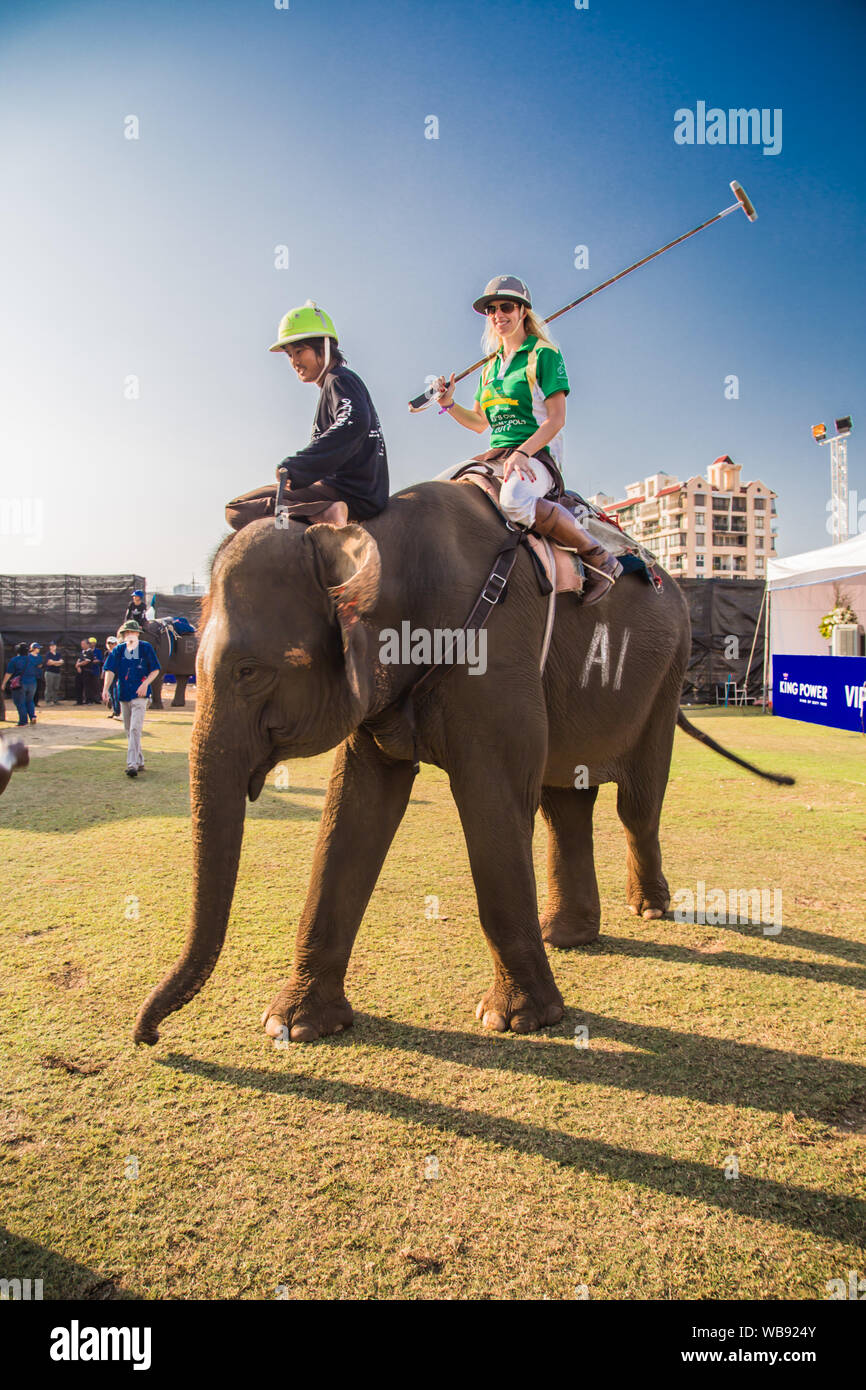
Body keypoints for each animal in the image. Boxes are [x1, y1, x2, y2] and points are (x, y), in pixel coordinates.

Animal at [133, 481, 791, 1047]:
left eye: (249, 671)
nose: (149, 1036)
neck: (381, 531)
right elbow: (355, 809)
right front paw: (294, 1026)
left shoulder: (495, 653)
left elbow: (494, 799)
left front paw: (516, 1021)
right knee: (565, 803)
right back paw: (565, 936)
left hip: (665, 678)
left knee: (637, 802)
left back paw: (647, 909)